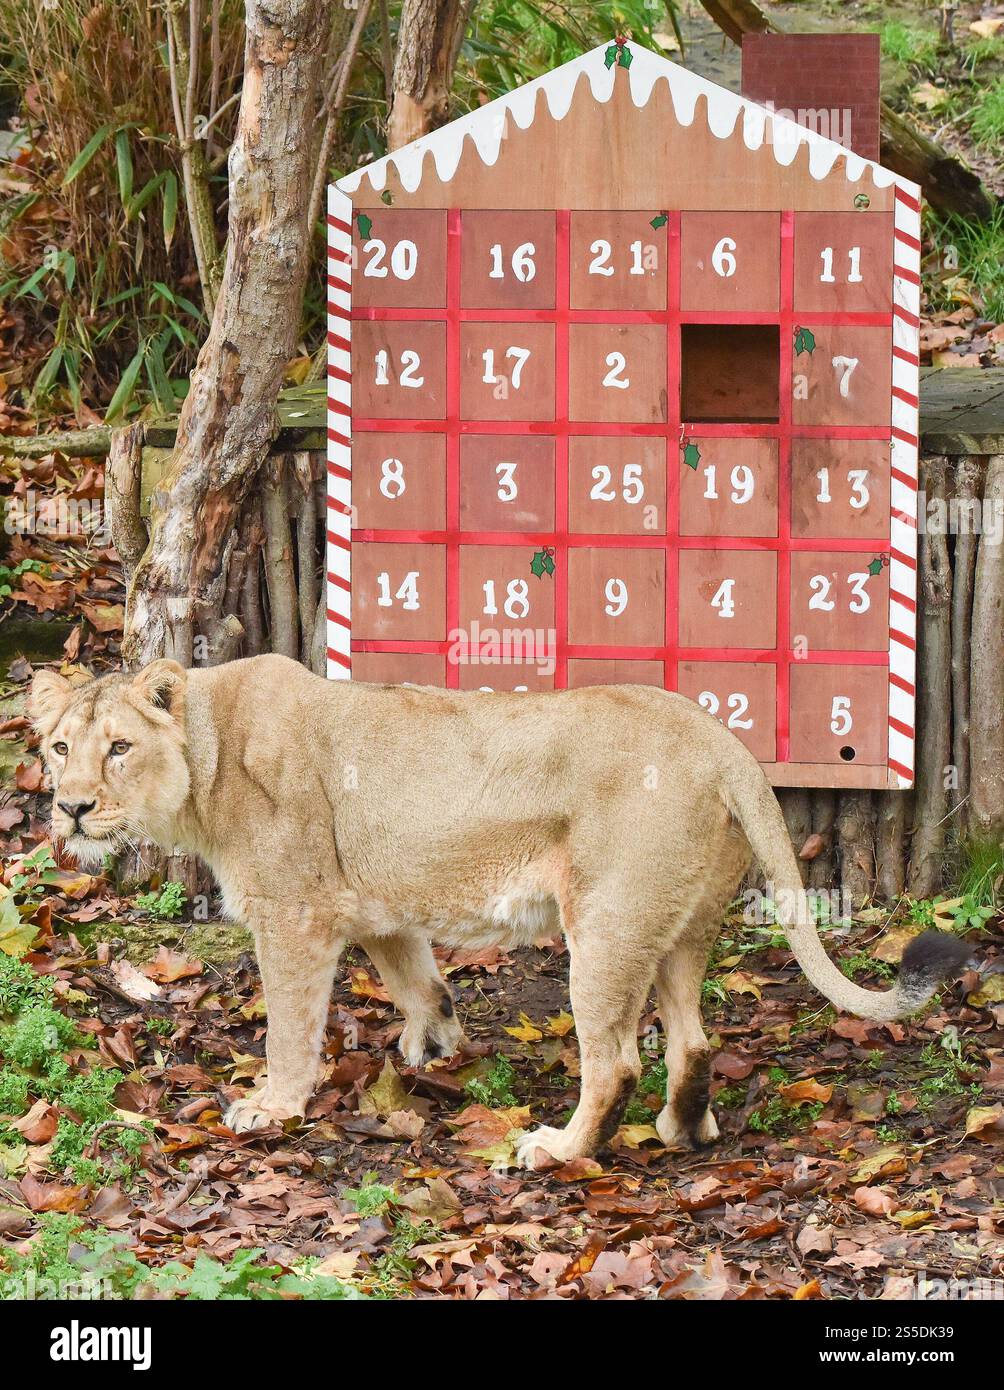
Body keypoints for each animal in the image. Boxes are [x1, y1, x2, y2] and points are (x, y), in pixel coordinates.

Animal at [29, 654, 968, 1166]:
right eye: (59, 747)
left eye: (120, 748)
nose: (70, 808)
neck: (209, 752)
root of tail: (722, 740)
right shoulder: (378, 905)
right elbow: (417, 981)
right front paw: (434, 1047)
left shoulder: (295, 915)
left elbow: (290, 1028)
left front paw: (274, 1105)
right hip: (681, 923)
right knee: (694, 1042)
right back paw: (681, 1128)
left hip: (607, 925)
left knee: (614, 1062)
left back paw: (557, 1151)